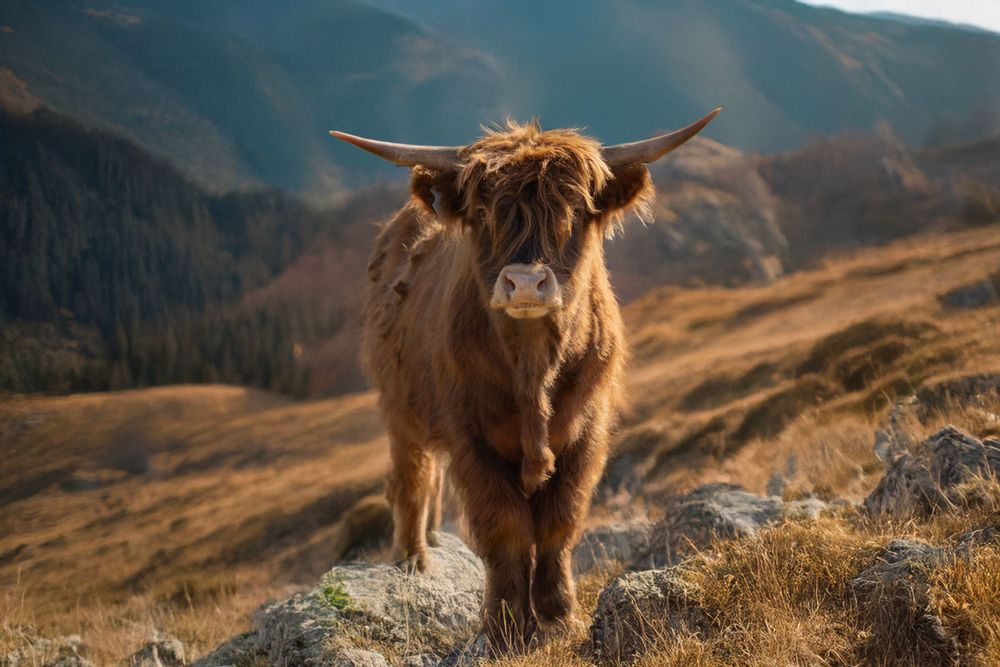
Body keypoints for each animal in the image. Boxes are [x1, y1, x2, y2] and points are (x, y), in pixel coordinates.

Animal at [330, 109, 720, 647]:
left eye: (574, 212)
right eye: (483, 214)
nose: (527, 284)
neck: (533, 367)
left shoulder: (588, 431)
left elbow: (560, 521)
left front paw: (557, 616)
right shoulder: (470, 437)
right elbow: (505, 526)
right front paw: (505, 624)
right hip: (400, 410)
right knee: (411, 479)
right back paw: (413, 560)